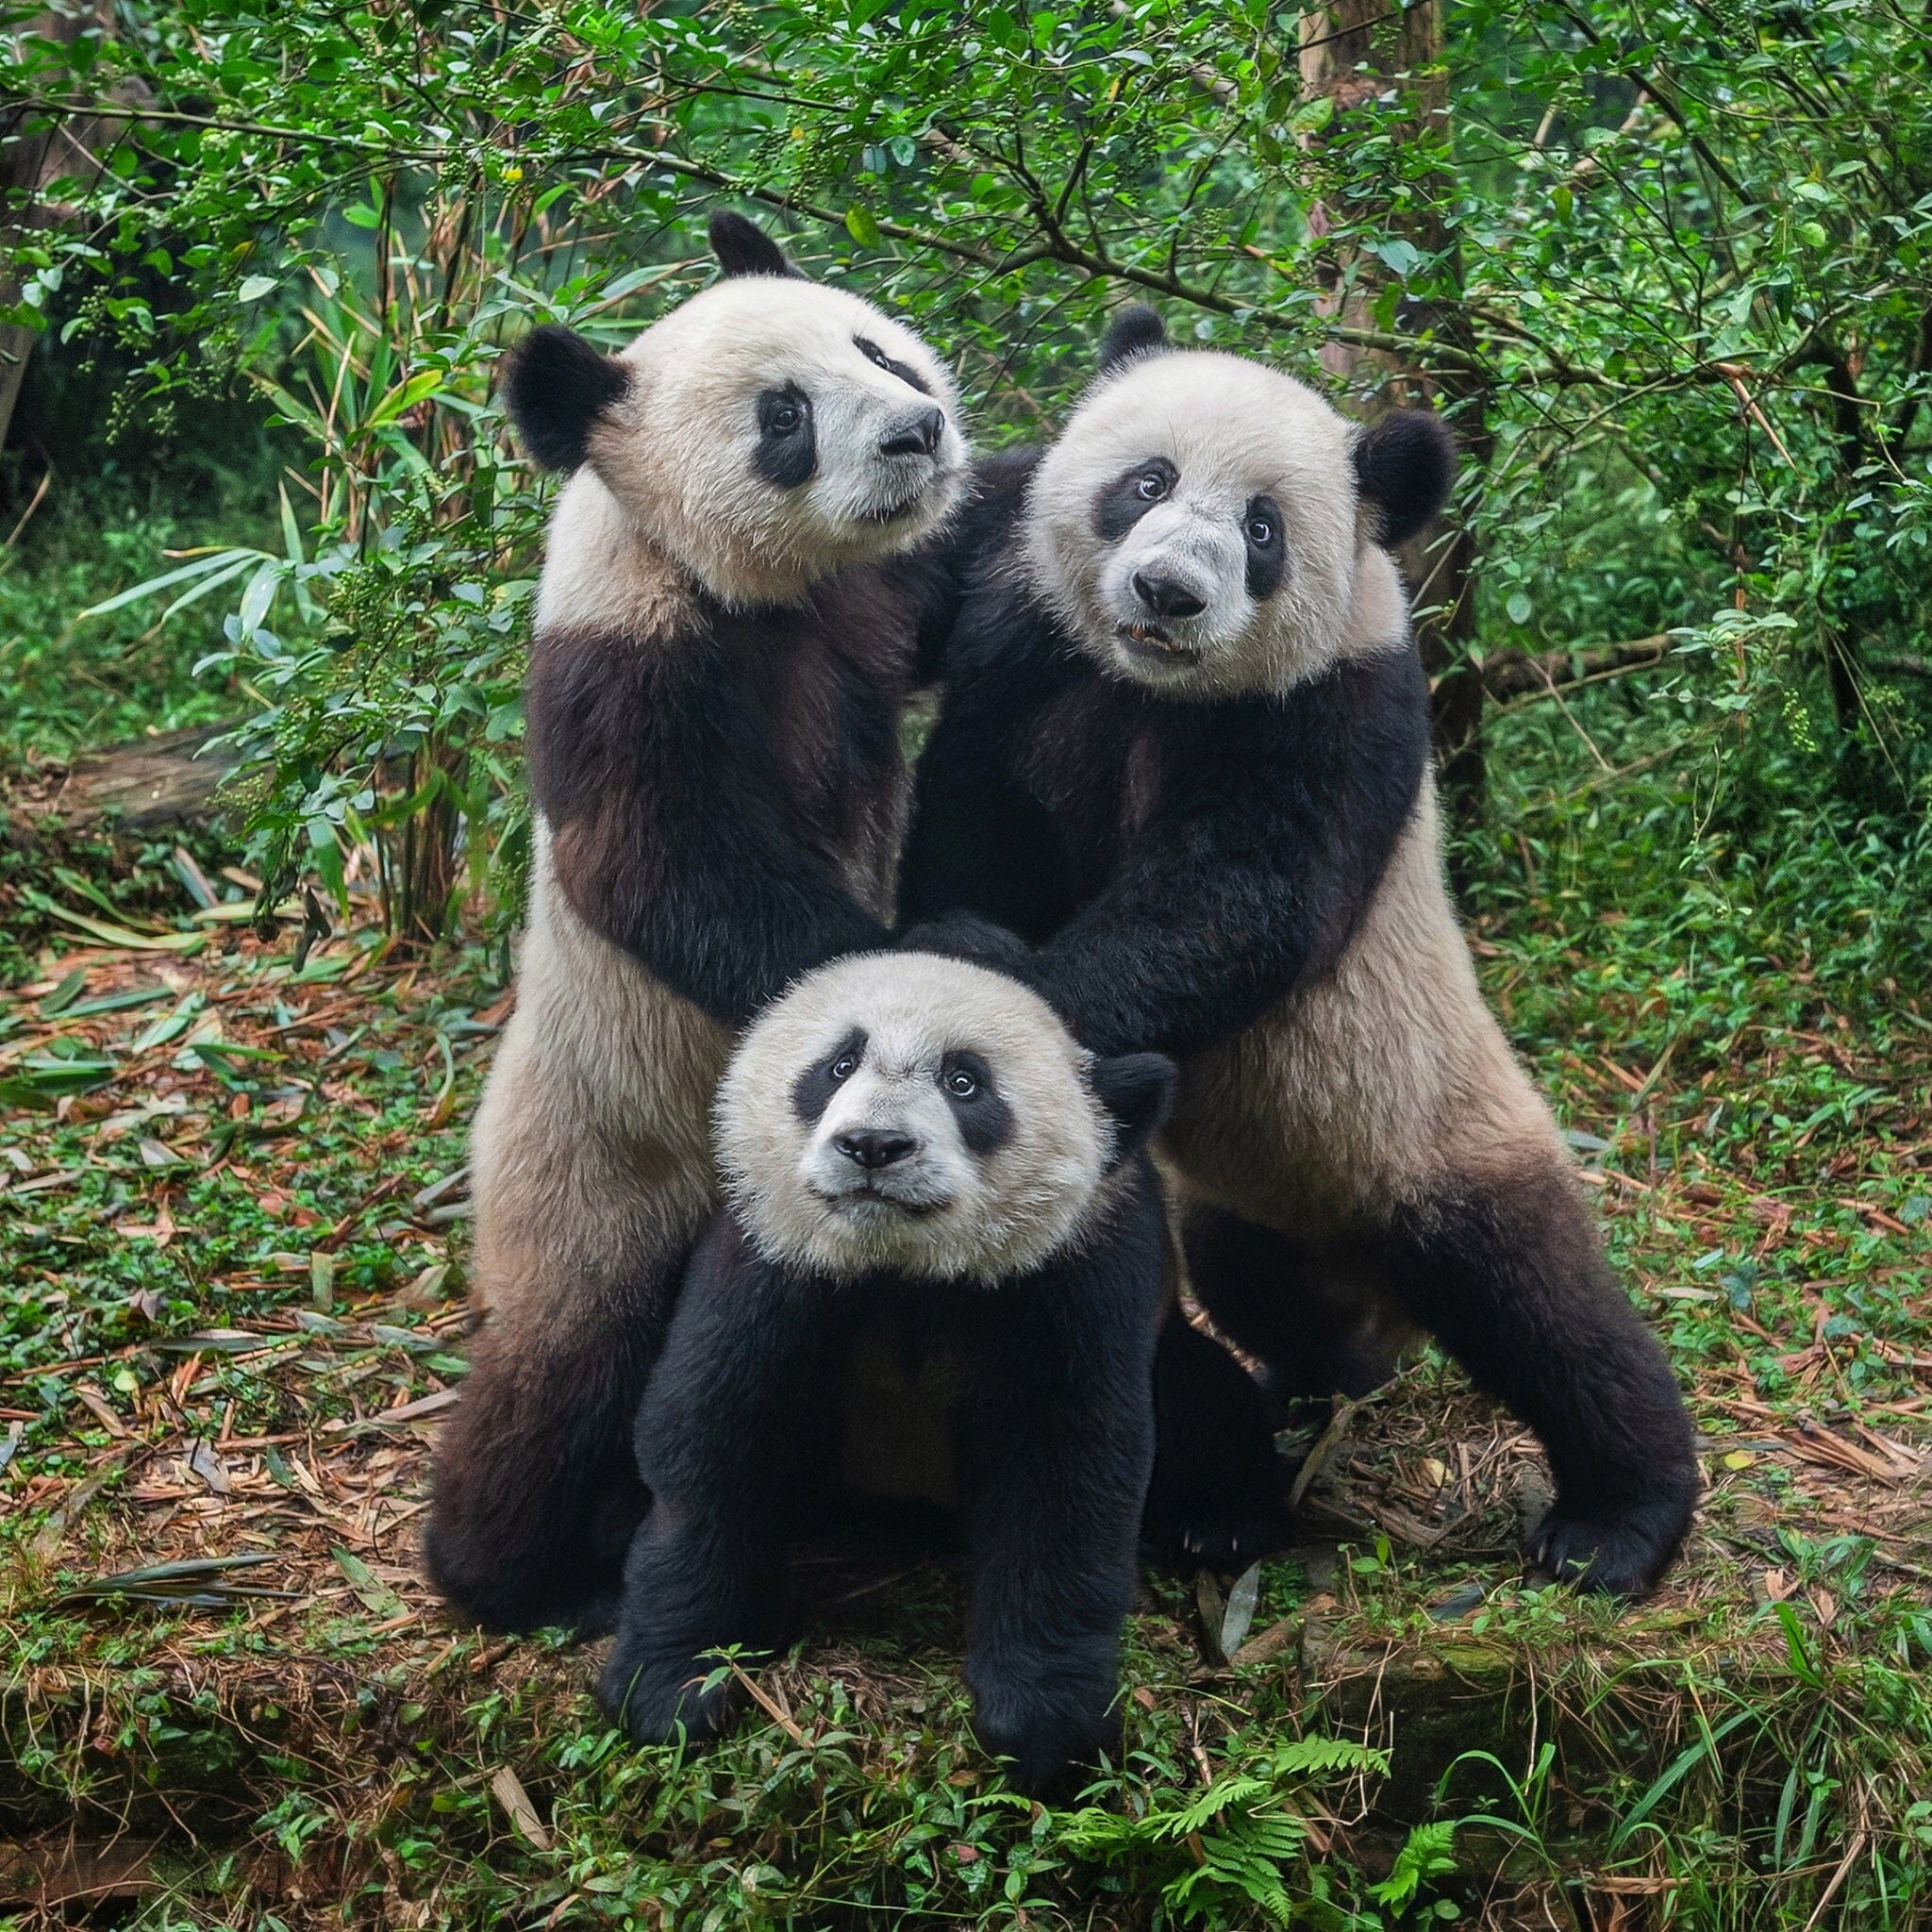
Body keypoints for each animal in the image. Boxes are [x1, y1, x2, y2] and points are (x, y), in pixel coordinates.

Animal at [425, 213, 971, 1635]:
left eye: (875, 348)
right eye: (783, 417)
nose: (918, 430)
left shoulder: (877, 601)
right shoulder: (630, 666)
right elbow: (660, 871)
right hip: (599, 1161)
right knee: (565, 1364)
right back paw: (506, 1569)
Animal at [598, 948, 1177, 1798]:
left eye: (965, 1082)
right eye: (838, 1065)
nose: (873, 1145)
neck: (905, 1269)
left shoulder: (1068, 1282)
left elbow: (1067, 1470)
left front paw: (1046, 1724)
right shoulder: (773, 1261)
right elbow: (709, 1441)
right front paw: (669, 1686)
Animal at [898, 307, 1700, 1597]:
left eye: (1261, 528)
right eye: (1146, 482)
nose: (1168, 591)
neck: (1152, 684)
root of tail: (1371, 1278)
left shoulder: (1330, 706)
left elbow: (1239, 901)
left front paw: (1013, 1001)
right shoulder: (1028, 639)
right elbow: (982, 816)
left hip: (1435, 1132)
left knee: (1539, 1306)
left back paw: (1616, 1515)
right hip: (1260, 1198)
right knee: (1259, 1284)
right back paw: (1298, 1392)